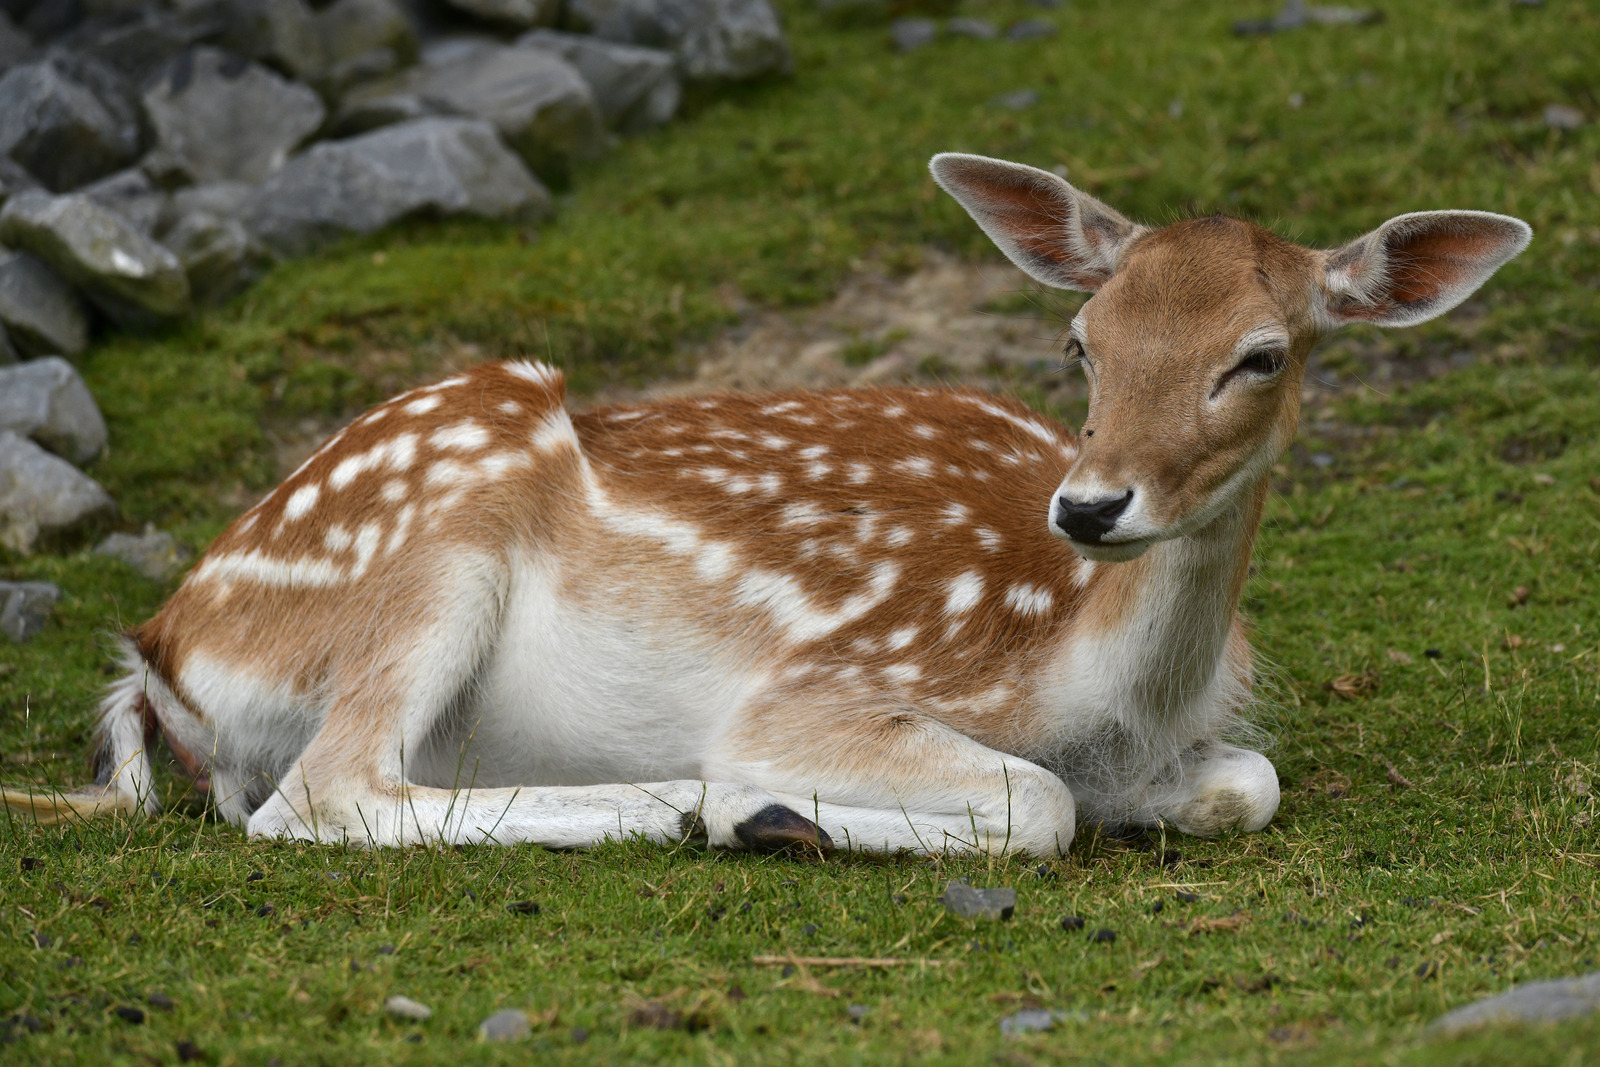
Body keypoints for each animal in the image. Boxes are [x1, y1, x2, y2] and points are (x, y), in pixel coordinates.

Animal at [2, 154, 1530, 856]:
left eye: (1259, 355)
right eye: (1083, 338)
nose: (1092, 506)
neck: (1102, 676)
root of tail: (158, 656)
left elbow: (1248, 779)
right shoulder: (830, 683)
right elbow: (1037, 801)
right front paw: (771, 800)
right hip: (435, 540)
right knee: (322, 795)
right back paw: (707, 803)